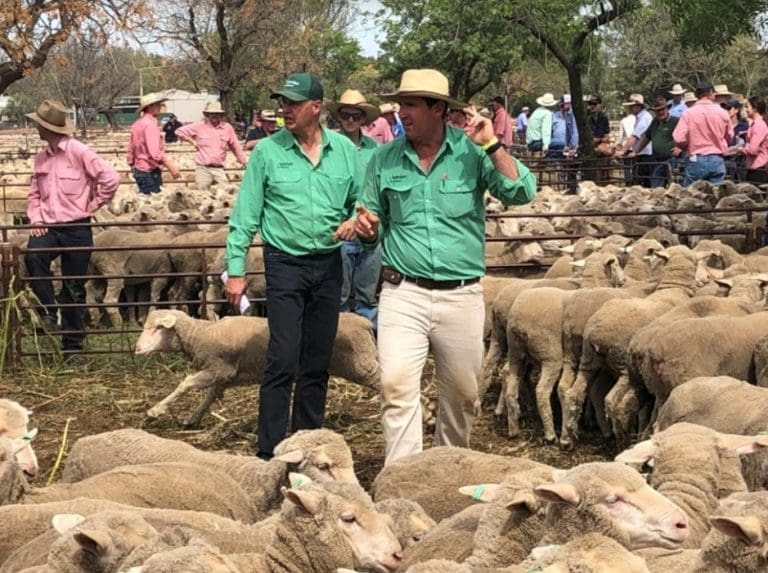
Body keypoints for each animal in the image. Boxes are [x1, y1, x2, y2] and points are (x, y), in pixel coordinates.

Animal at [135, 310, 378, 427]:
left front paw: (155, 410)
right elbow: (211, 395)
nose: (136, 349)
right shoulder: (224, 374)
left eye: (158, 328)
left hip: (361, 364)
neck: (201, 334)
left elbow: (185, 384)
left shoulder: (218, 368)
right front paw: (193, 418)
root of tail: (366, 323)